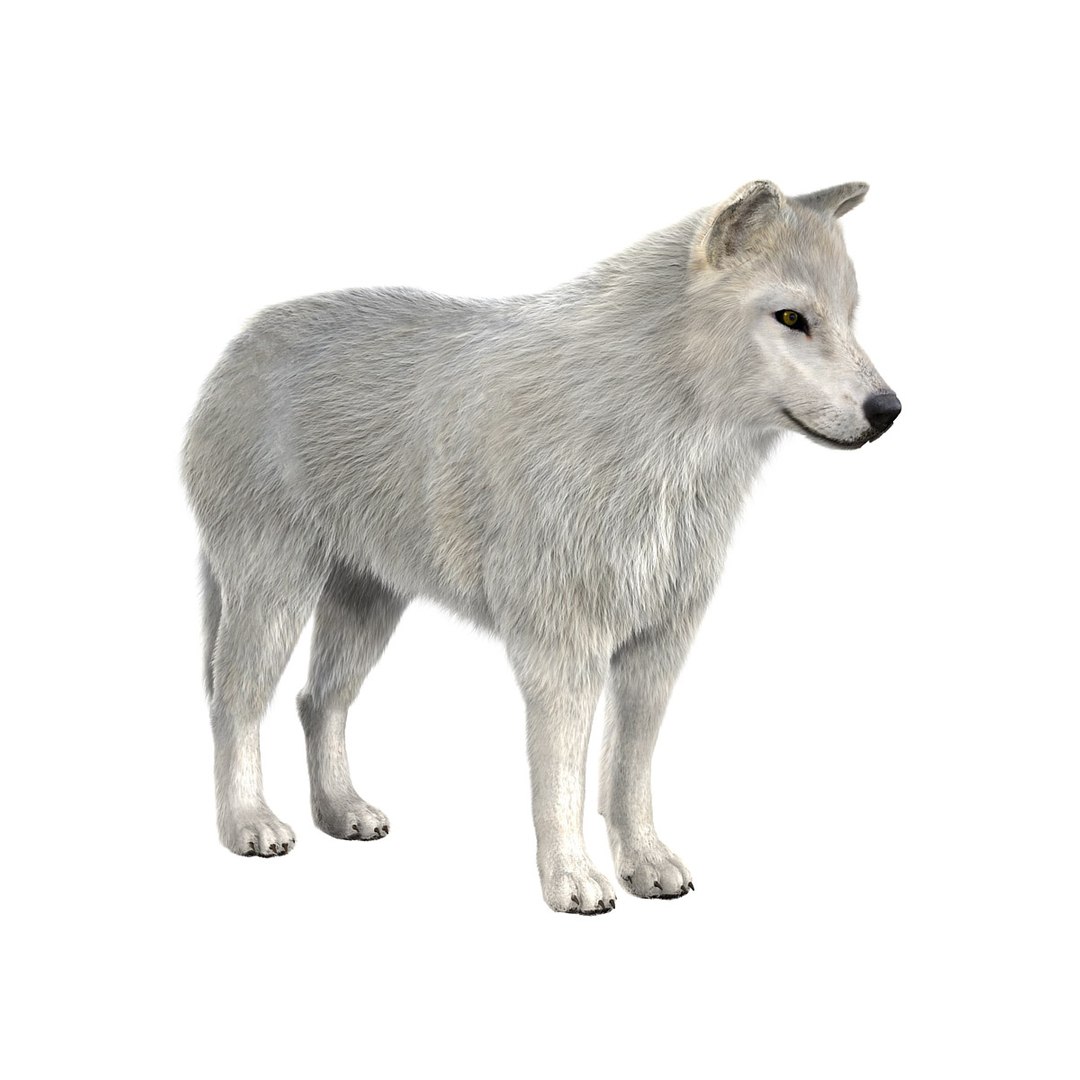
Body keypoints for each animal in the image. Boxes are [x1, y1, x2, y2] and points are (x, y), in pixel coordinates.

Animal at [182, 179, 900, 915]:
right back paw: (249, 824)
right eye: (791, 317)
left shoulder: (658, 648)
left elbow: (628, 772)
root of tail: (242, 343)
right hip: (275, 592)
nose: (888, 410)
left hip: (368, 603)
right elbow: (562, 781)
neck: (656, 441)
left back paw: (342, 812)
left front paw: (645, 863)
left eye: (849, 317)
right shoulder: (561, 651)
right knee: (234, 702)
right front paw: (574, 882)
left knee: (317, 701)